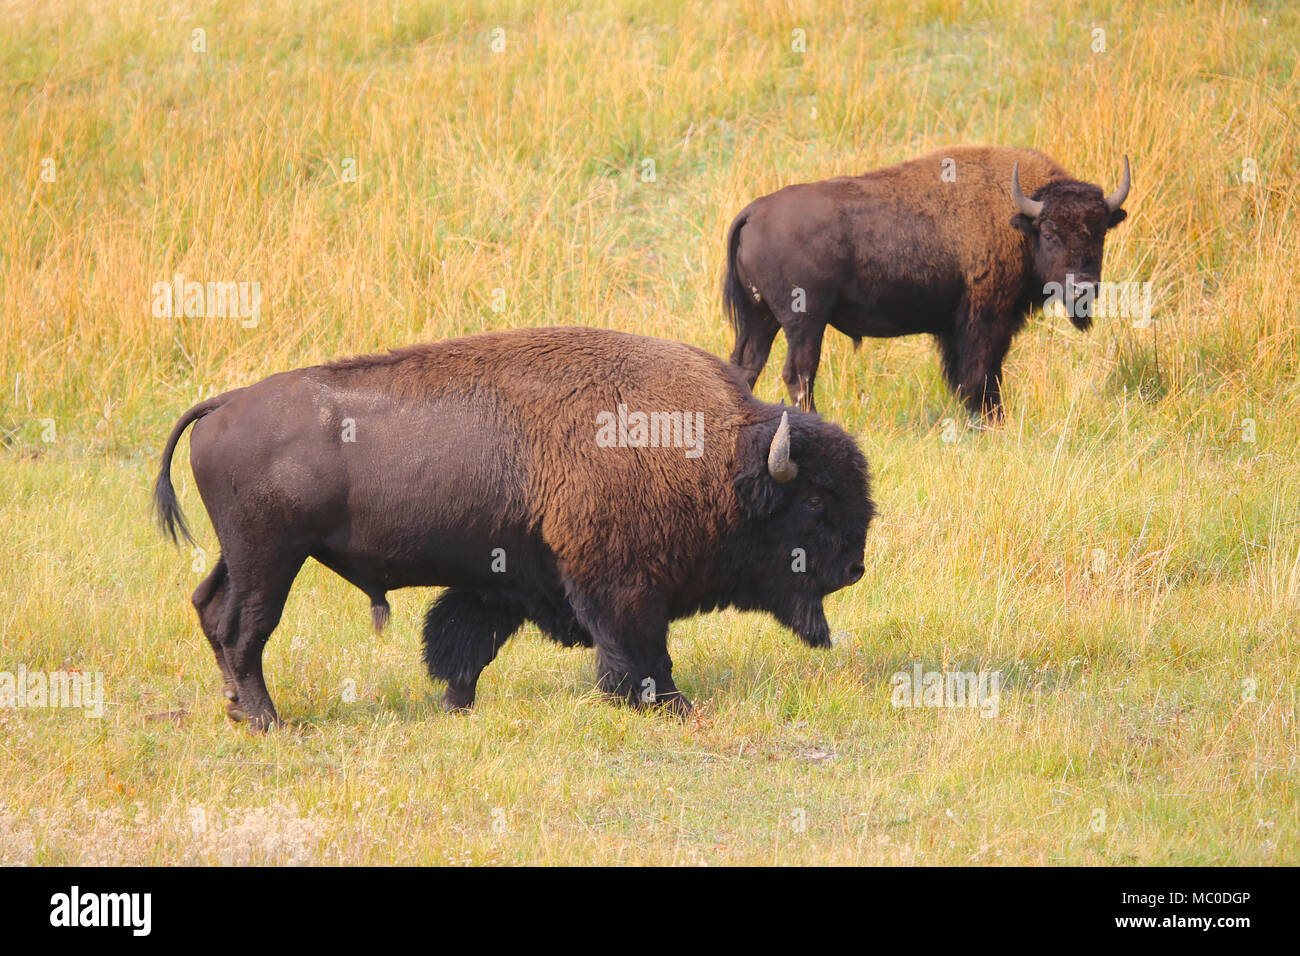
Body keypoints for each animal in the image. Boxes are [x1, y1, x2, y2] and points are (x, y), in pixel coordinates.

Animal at [153, 326, 874, 728]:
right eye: (814, 501)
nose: (854, 568)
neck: (716, 458)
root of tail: (223, 405)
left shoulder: (503, 580)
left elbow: (464, 642)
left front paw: (456, 703)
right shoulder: (619, 584)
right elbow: (639, 650)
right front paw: (671, 705)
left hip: (240, 556)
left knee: (209, 608)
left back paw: (238, 710)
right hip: (271, 557)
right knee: (244, 628)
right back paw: (267, 721)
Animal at [724, 145, 1131, 418]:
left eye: (1100, 233)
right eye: (1049, 234)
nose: (1083, 287)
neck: (1018, 219)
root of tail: (754, 211)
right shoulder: (986, 316)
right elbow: (981, 371)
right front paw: (988, 420)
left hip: (759, 319)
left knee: (746, 367)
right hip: (805, 321)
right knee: (799, 373)